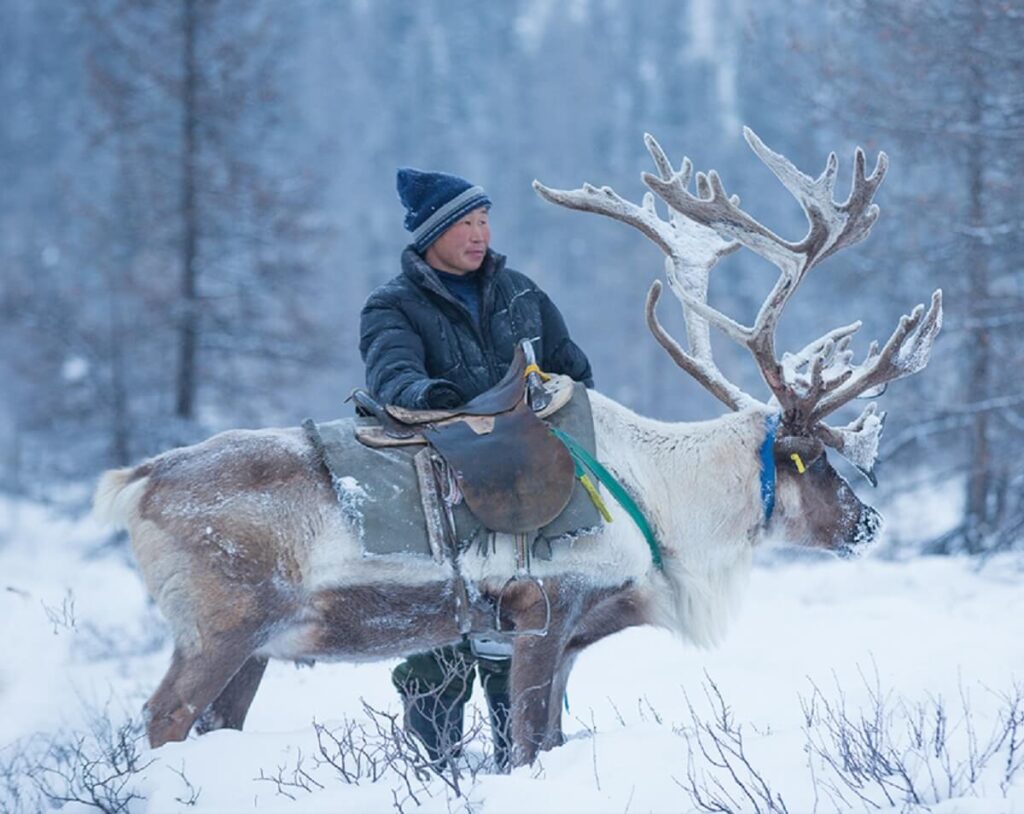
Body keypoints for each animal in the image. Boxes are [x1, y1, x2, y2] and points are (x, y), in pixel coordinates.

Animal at [94, 128, 941, 768]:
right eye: (819, 460)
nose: (869, 524)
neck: (664, 500)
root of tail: (138, 480)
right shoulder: (542, 613)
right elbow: (530, 741)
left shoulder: (569, 638)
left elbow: (545, 738)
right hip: (219, 627)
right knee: (162, 717)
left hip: (259, 645)